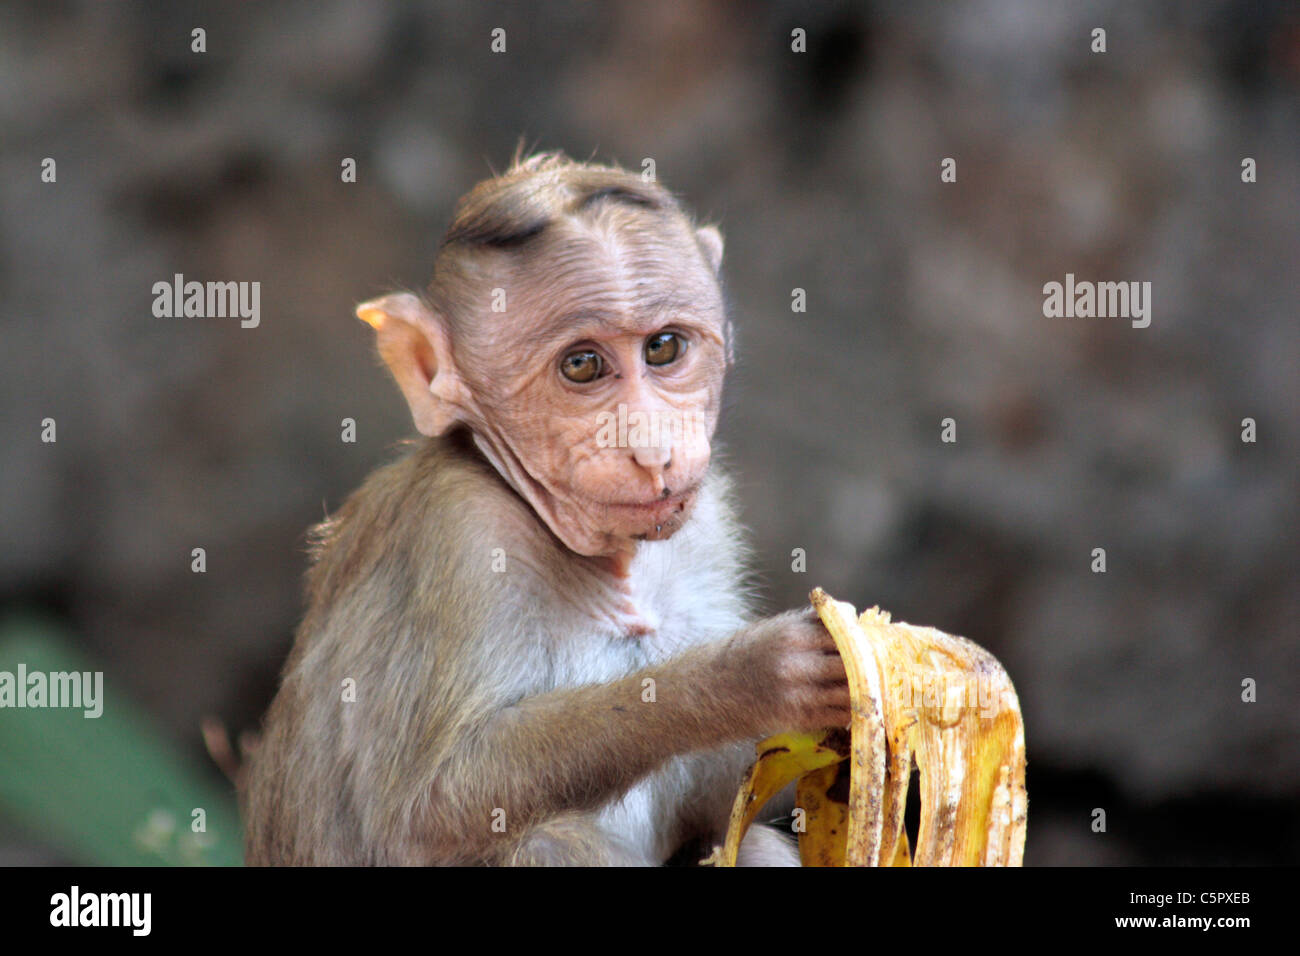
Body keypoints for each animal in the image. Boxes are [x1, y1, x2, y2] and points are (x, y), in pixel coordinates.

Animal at [242, 151, 850, 866]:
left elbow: (714, 818)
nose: (652, 448)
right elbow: (423, 810)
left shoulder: (706, 526)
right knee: (549, 838)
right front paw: (748, 677)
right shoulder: (460, 534)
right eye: (582, 365)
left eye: (664, 348)